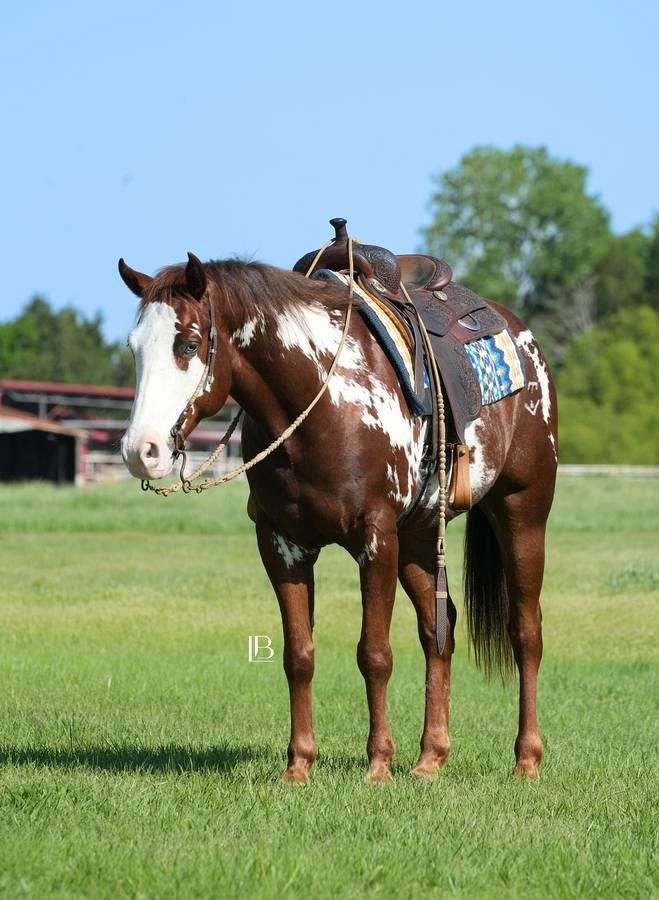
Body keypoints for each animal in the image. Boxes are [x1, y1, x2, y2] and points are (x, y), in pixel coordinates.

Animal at [118, 250, 558, 783]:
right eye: (134, 349)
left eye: (188, 343)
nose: (141, 450)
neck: (323, 397)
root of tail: (521, 335)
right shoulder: (282, 545)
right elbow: (299, 655)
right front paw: (299, 765)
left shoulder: (376, 538)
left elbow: (375, 653)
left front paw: (378, 765)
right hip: (418, 540)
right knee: (439, 630)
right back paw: (430, 758)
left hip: (522, 511)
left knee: (525, 631)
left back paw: (527, 759)